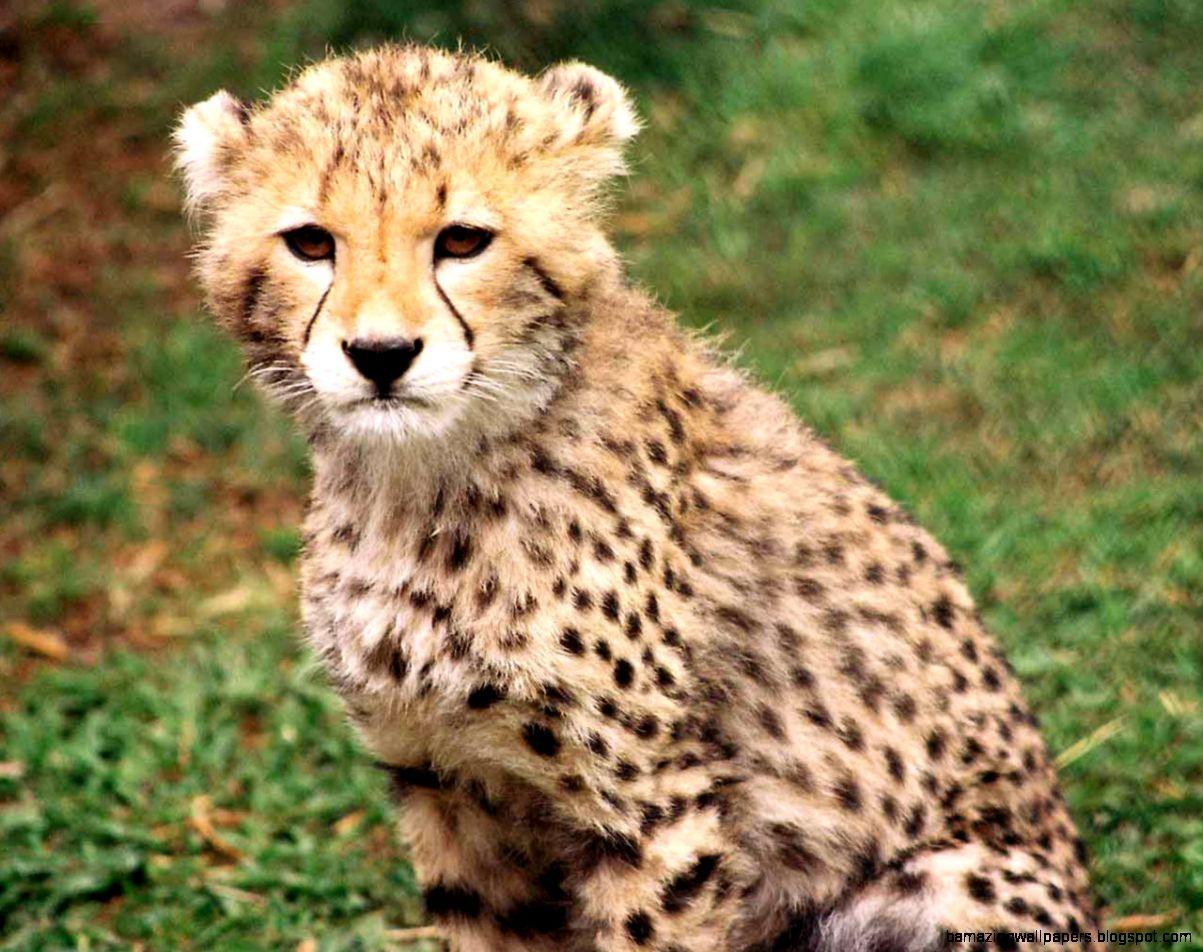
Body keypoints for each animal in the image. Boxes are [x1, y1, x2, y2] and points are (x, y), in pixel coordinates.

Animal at [174, 43, 1100, 952]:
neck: (421, 482)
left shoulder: (651, 806)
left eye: (462, 240)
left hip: (947, 884)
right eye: (309, 242)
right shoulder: (444, 778)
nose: (380, 354)